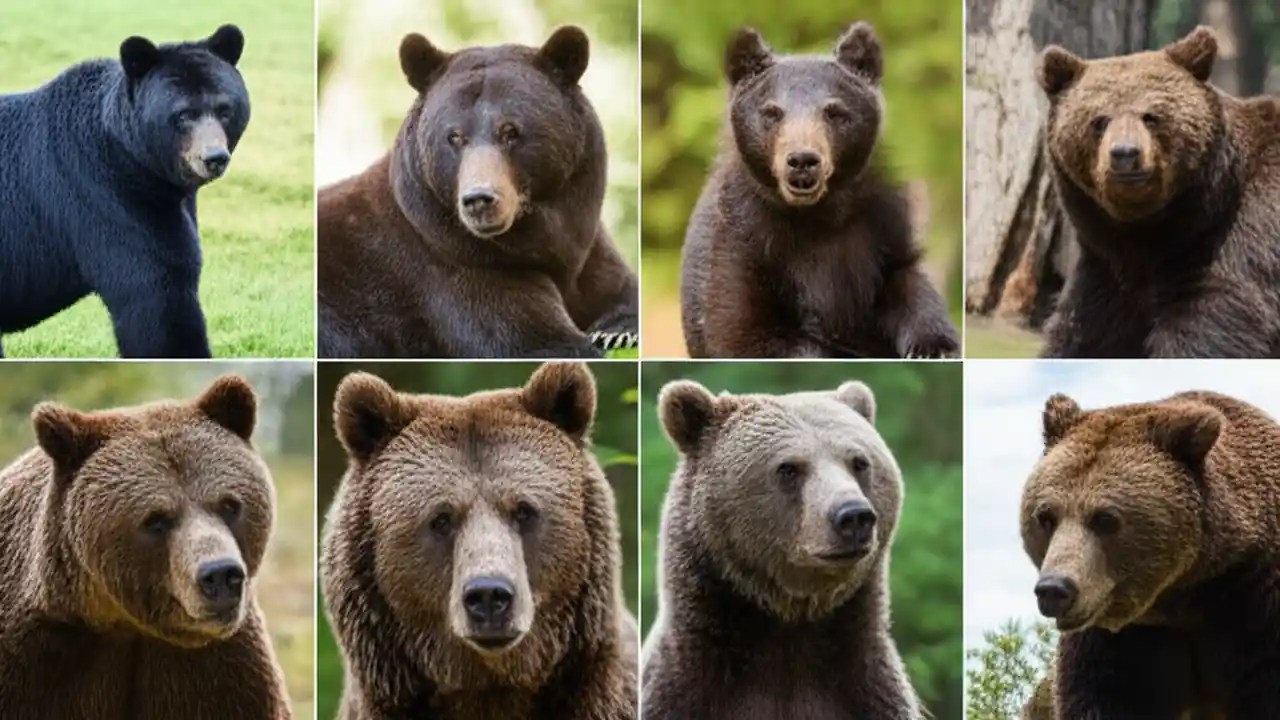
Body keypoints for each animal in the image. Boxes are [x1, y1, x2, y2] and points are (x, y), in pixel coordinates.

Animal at [0, 376, 290, 719]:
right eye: (156, 520)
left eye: (230, 505)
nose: (221, 575)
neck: (121, 623)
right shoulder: (36, 662)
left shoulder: (223, 669)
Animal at [317, 27, 639, 359]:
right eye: (454, 136)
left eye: (511, 131)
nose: (479, 199)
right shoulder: (456, 268)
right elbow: (535, 336)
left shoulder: (591, 251)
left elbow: (620, 294)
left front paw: (614, 331)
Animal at [641, 379, 923, 719]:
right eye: (789, 469)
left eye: (859, 462)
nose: (854, 516)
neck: (788, 623)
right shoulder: (678, 694)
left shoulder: (870, 695)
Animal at [679, 22, 958, 359]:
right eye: (772, 112)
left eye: (834, 111)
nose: (802, 159)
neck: (817, 215)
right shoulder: (742, 240)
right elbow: (743, 329)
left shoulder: (879, 228)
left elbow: (907, 283)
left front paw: (934, 347)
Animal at [1036, 27, 1280, 358]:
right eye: (1099, 120)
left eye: (1151, 116)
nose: (1125, 154)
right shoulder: (1109, 275)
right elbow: (1084, 335)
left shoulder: (1240, 240)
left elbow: (1211, 322)